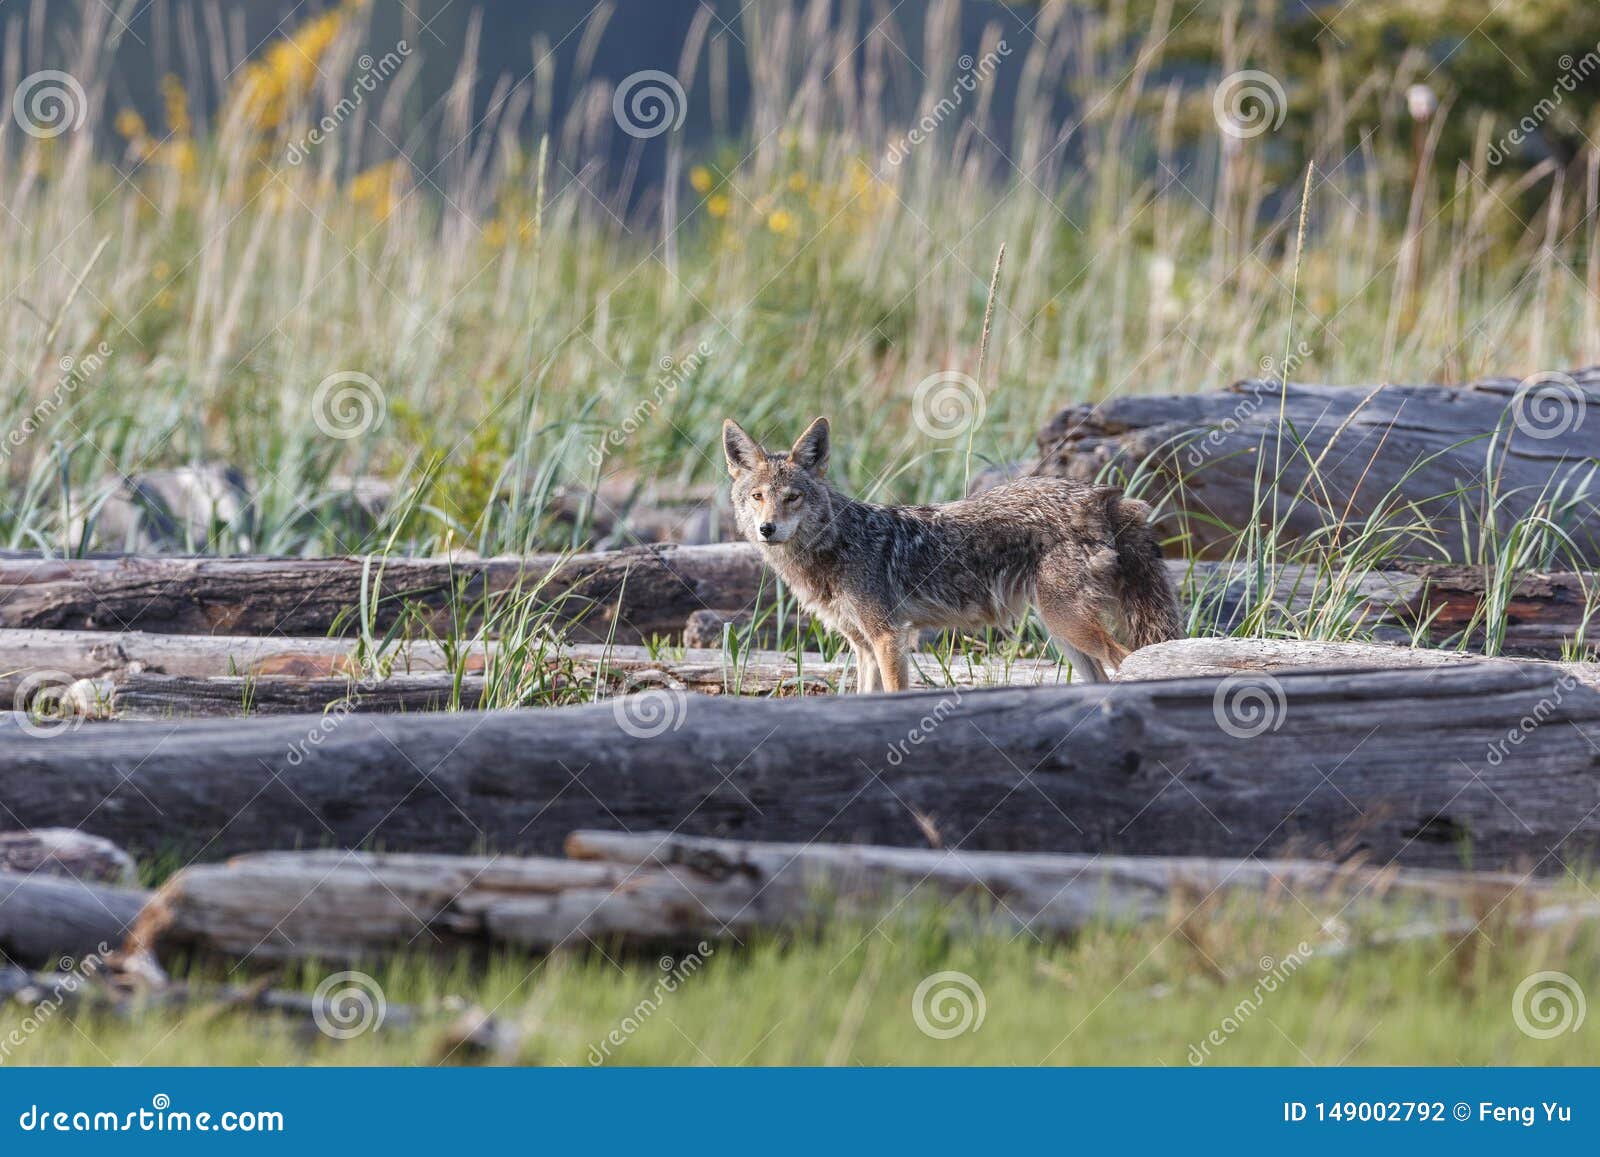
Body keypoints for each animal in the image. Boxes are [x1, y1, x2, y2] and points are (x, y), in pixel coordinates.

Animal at [722, 416, 1182, 690]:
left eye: (792, 497)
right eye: (758, 497)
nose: (767, 529)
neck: (836, 545)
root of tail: (1103, 496)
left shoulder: (889, 637)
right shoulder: (863, 647)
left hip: (1069, 625)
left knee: (1130, 661)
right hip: (1065, 635)